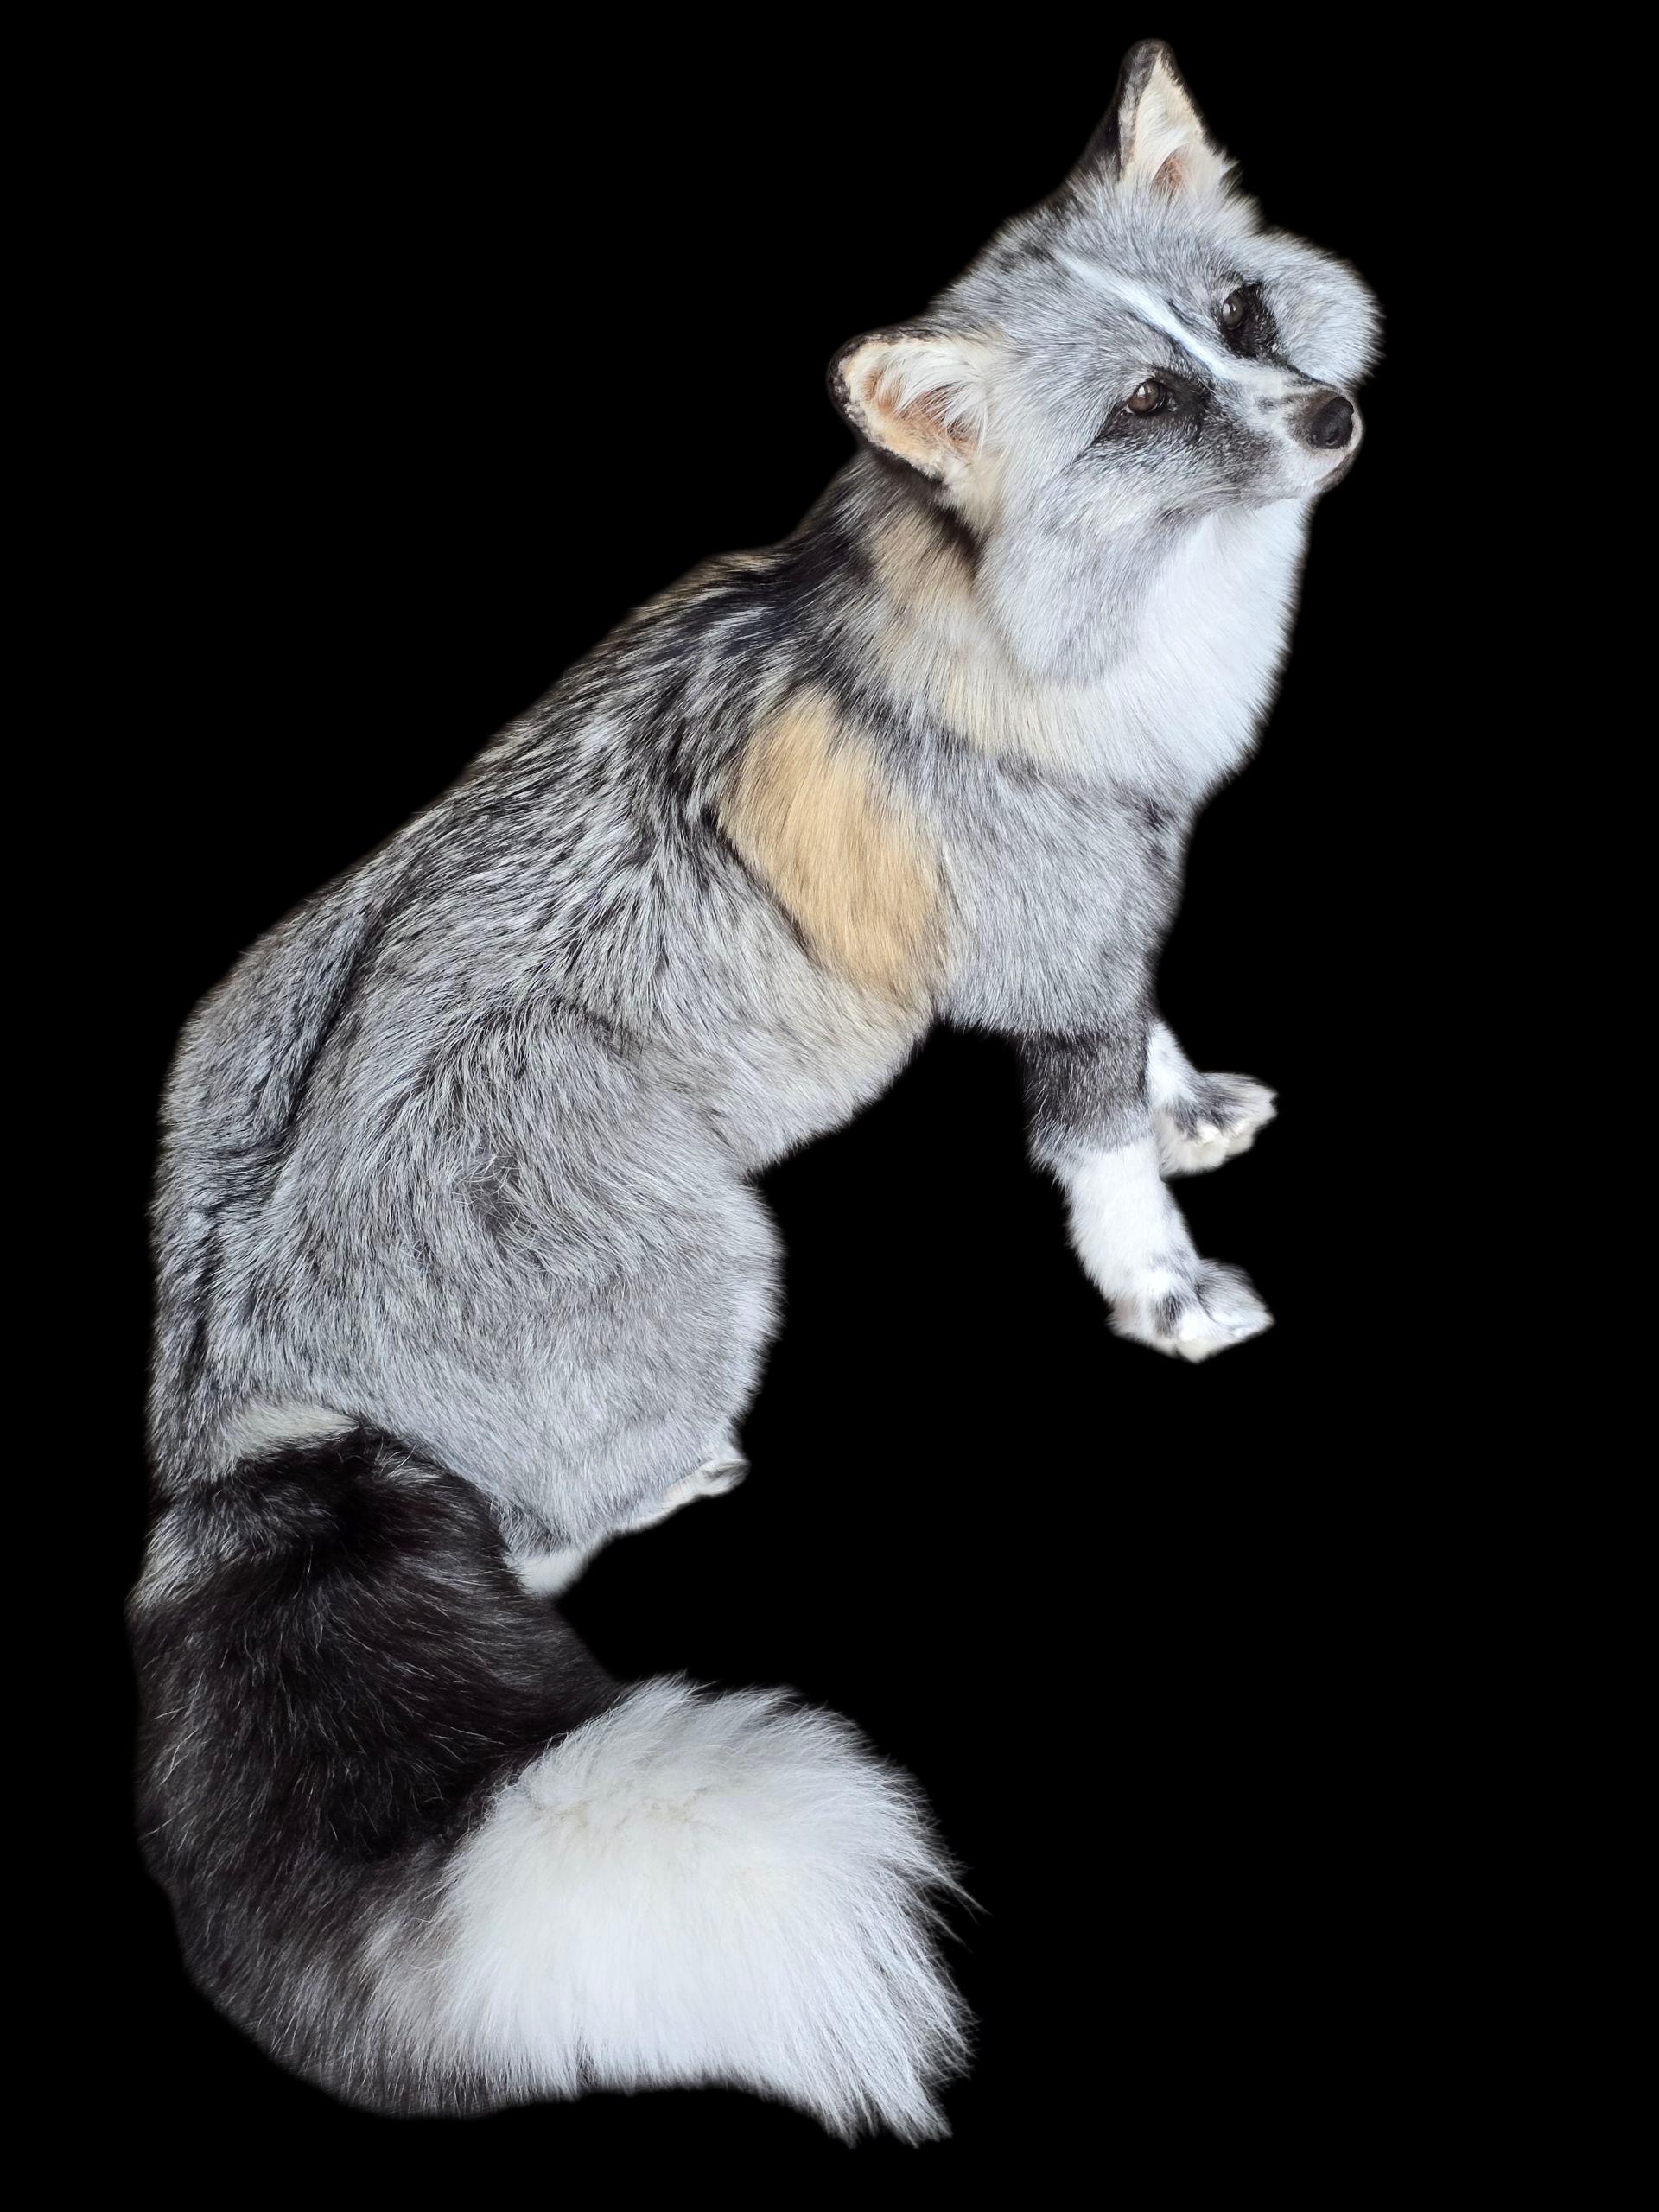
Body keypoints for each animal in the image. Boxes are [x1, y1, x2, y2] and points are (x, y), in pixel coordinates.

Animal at [133, 41, 1378, 2140]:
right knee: (542, 1537)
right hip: (720, 1262)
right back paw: (675, 1473)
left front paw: (1194, 1101)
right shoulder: (1060, 928)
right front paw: (1165, 1288)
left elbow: (1141, 1050)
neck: (1068, 645)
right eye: (1142, 408)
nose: (1327, 415)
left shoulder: (1108, 916)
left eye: (1241, 317)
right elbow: (1096, 1157)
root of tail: (232, 1395)